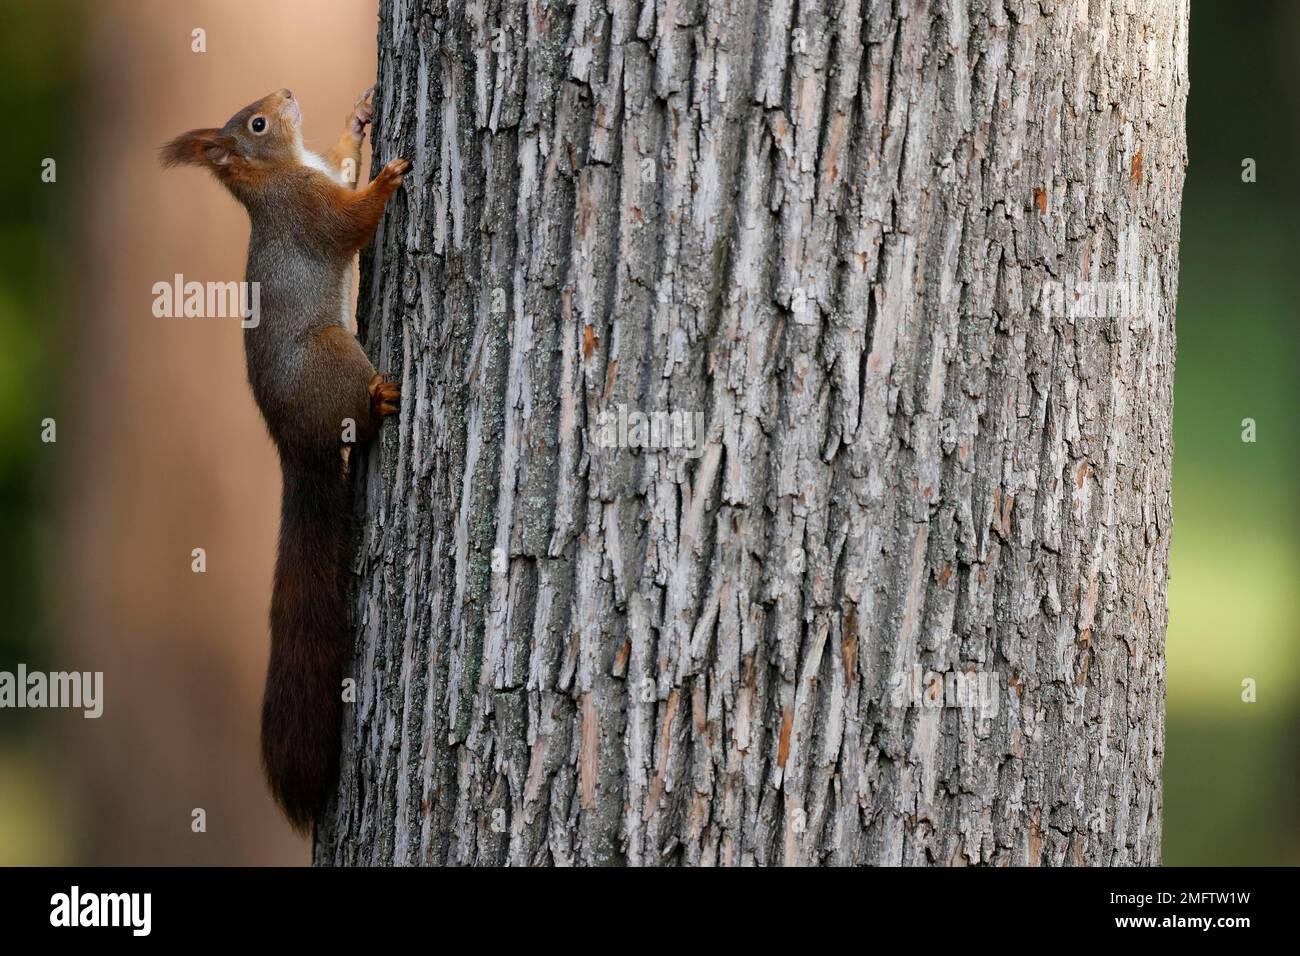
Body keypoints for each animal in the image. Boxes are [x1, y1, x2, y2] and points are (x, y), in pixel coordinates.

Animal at [161, 87, 409, 833]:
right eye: (258, 124)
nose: (288, 94)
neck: (280, 173)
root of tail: (295, 447)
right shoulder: (308, 211)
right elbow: (349, 222)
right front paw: (388, 180)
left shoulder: (320, 171)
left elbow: (343, 158)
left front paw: (359, 118)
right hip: (336, 355)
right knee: (360, 413)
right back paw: (381, 397)